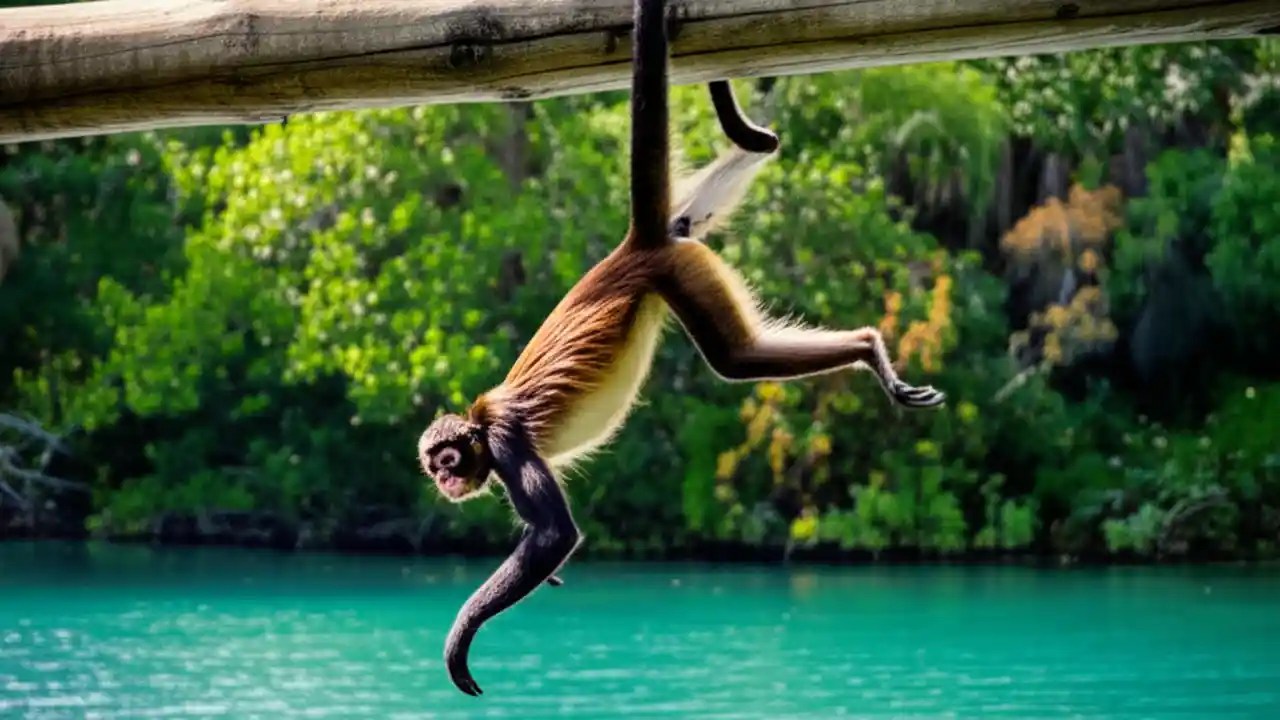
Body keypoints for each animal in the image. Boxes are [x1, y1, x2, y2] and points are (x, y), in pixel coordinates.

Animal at [418, 0, 945, 697]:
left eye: (449, 457)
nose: (445, 478)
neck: (480, 423)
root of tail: (633, 247)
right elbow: (545, 537)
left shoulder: (505, 440)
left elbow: (555, 532)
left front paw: (462, 635)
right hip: (682, 239)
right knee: (712, 229)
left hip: (680, 272)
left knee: (734, 359)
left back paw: (866, 348)